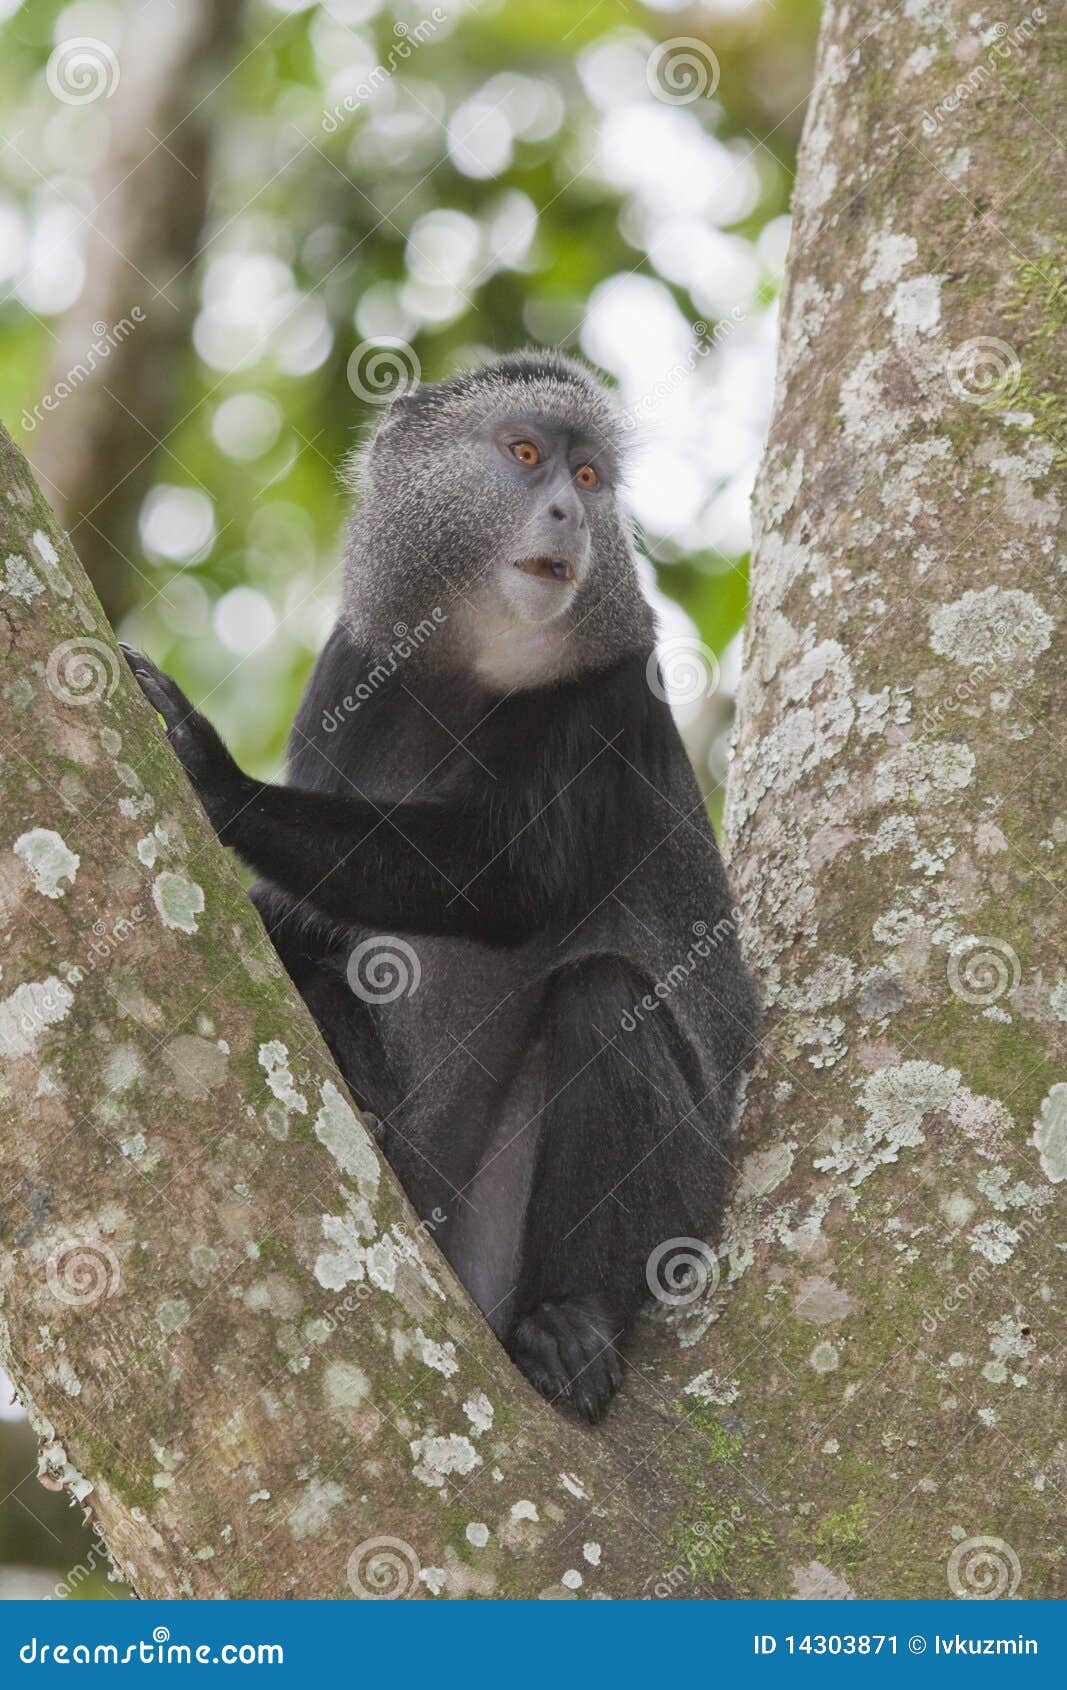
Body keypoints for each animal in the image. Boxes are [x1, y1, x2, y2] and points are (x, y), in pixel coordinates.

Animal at [122, 349, 760, 1421]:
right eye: (527, 455)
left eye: (590, 478)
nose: (570, 515)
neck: (475, 665)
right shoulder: (347, 666)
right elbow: (312, 918)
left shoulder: (611, 692)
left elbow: (509, 883)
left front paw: (217, 779)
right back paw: (372, 1112)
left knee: (606, 1001)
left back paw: (570, 1322)